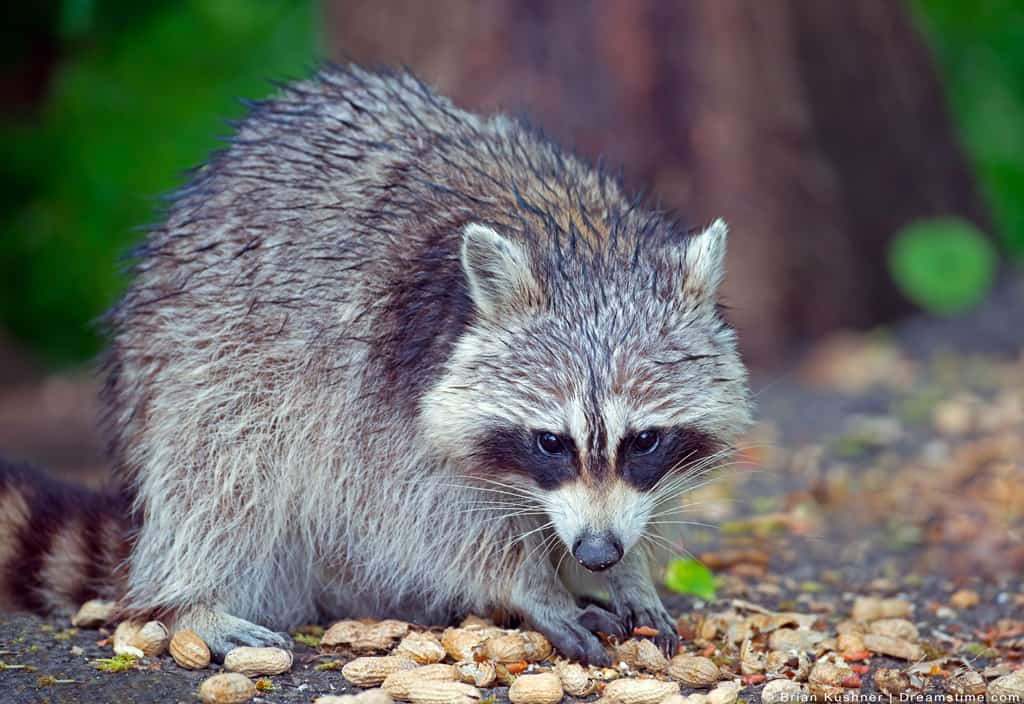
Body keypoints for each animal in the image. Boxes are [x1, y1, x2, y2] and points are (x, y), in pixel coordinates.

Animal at [1, 66, 752, 664]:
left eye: (644, 440)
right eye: (550, 442)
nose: (597, 552)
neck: (585, 244)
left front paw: (629, 572)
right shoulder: (375, 387)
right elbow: (407, 513)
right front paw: (529, 583)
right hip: (195, 347)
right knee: (221, 466)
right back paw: (191, 596)